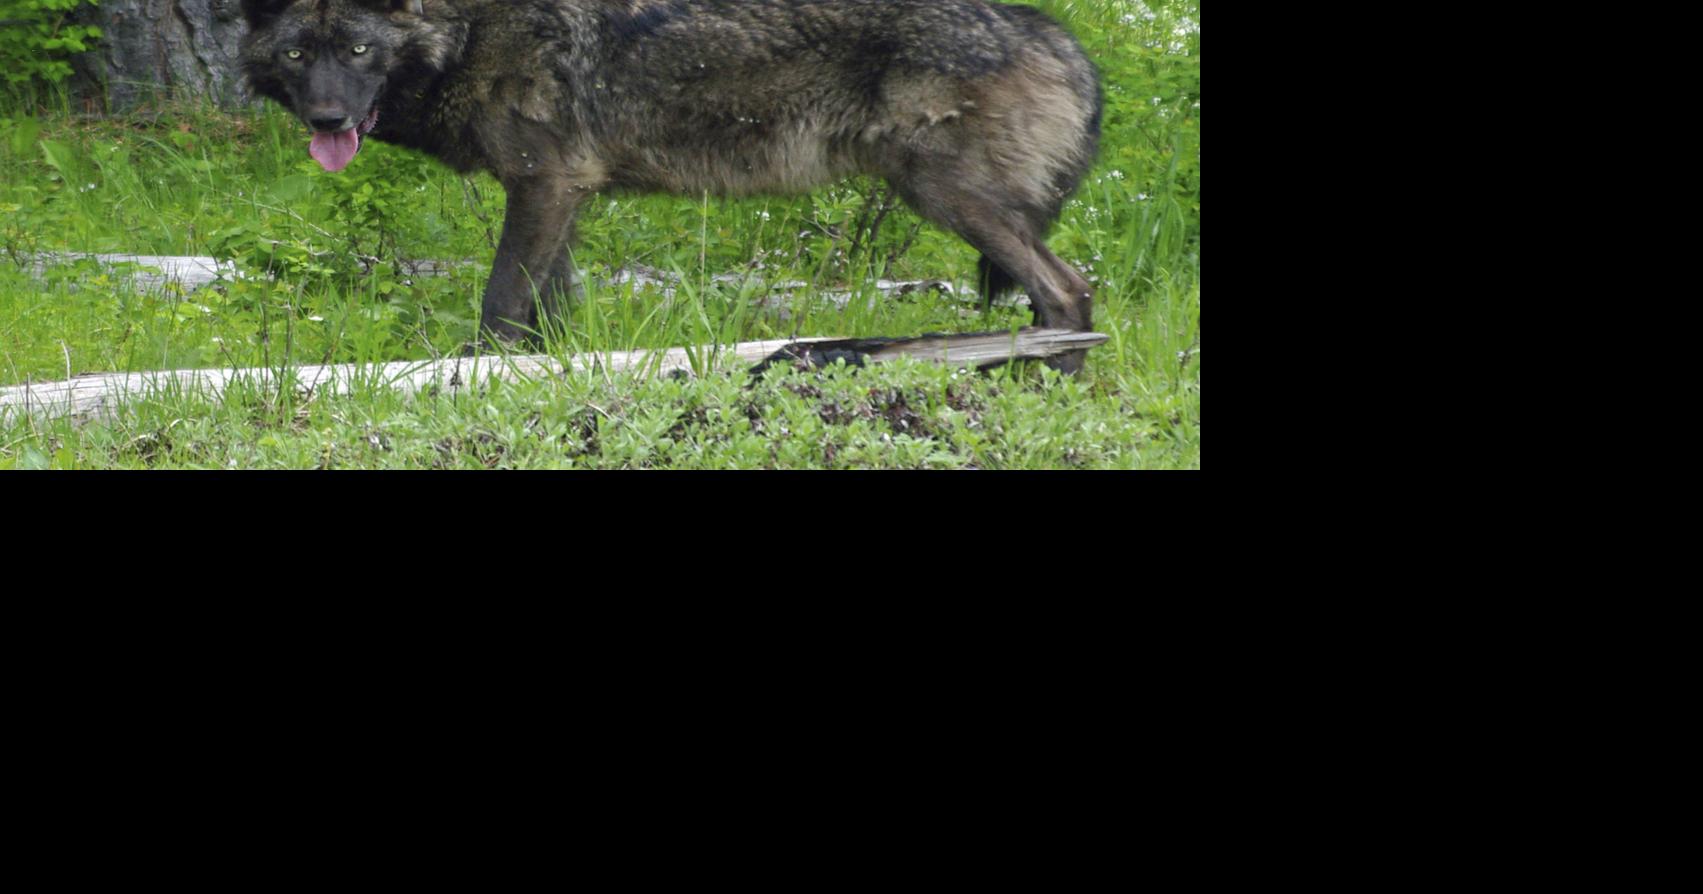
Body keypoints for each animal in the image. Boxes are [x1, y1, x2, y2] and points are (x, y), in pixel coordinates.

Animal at [240, 0, 1102, 369]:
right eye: (296, 54)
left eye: (358, 49)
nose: (324, 120)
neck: (472, 29)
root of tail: (1067, 42)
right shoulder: (562, 193)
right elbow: (551, 316)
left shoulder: (542, 182)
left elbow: (499, 304)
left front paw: (475, 379)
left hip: (946, 198)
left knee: (1068, 292)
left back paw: (1044, 394)